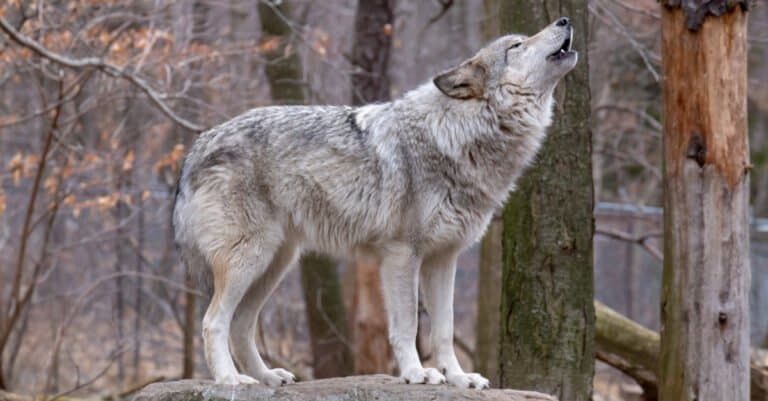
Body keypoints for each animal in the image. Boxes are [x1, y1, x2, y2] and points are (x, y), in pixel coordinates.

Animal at [173, 17, 577, 389]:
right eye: (516, 46)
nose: (564, 19)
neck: (457, 135)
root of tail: (198, 145)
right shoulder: (402, 255)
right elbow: (407, 325)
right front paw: (417, 373)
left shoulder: (443, 259)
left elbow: (443, 330)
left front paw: (459, 378)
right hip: (250, 260)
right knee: (214, 322)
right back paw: (230, 380)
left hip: (275, 263)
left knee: (241, 325)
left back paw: (267, 377)